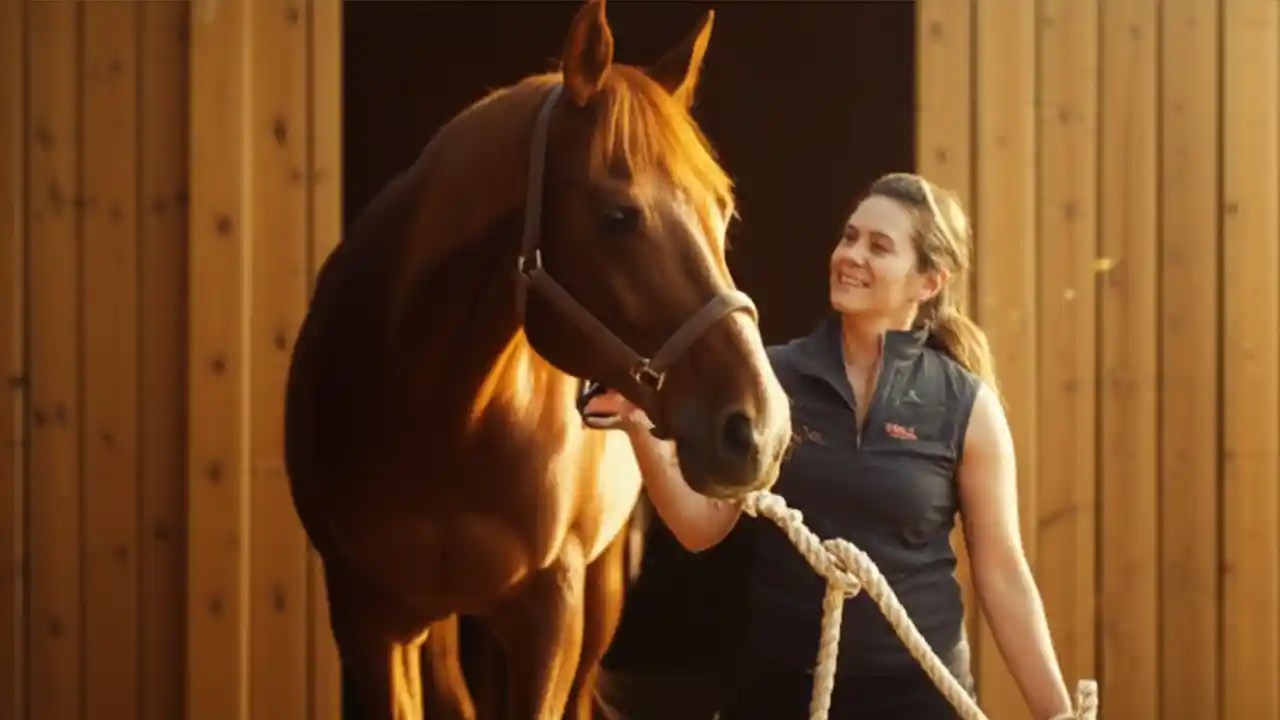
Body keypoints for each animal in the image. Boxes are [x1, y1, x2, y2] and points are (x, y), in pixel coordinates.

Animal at [283, 1, 792, 717]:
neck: (448, 420)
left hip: (601, 595)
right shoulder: (368, 621)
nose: (760, 428)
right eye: (616, 216)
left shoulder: (552, 617)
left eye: (724, 212)